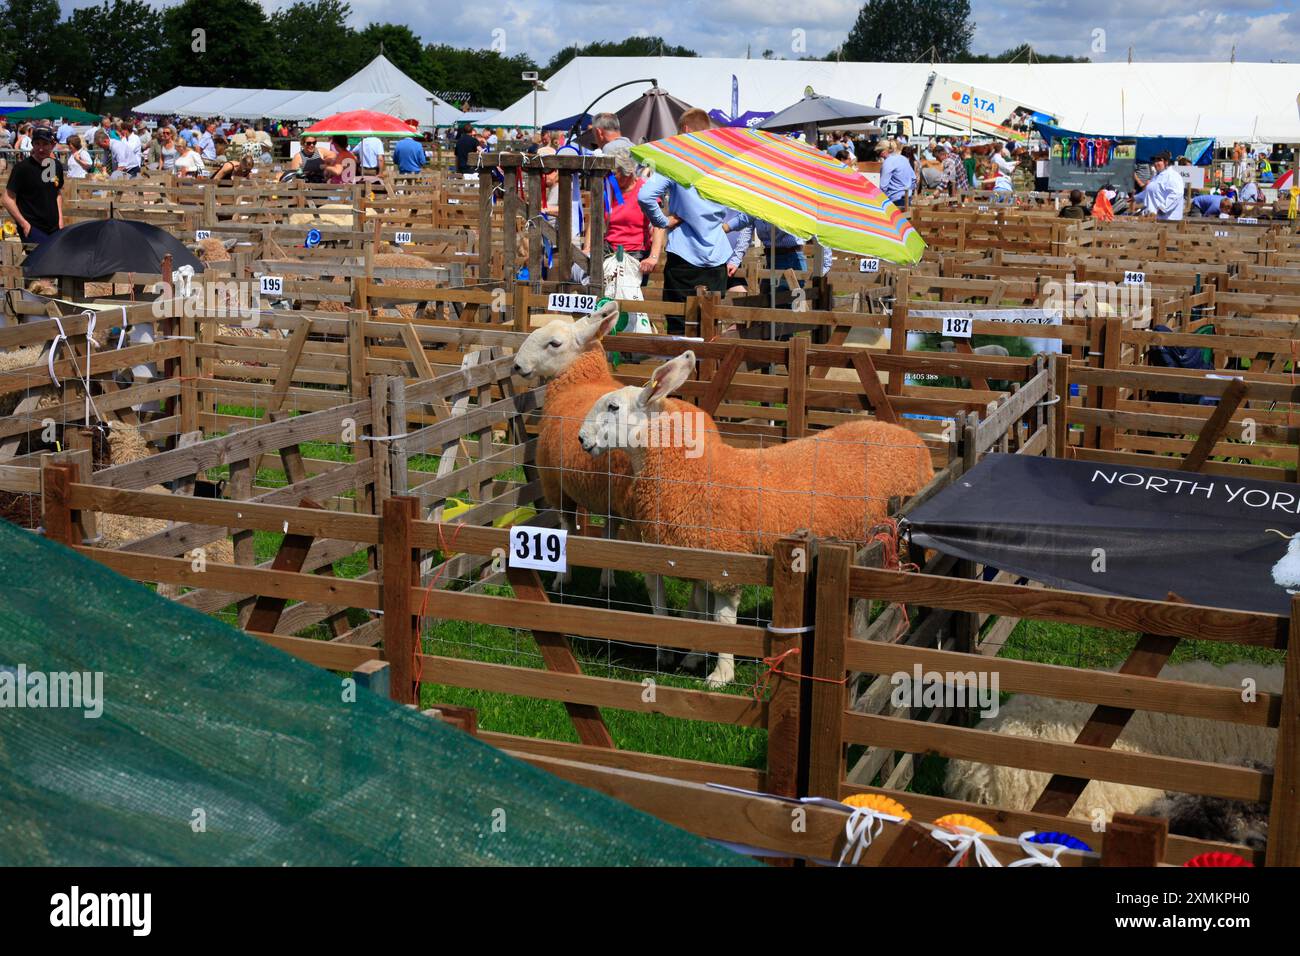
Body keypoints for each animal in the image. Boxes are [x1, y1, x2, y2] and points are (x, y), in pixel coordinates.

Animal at [577, 350, 935, 687]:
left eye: (613, 407)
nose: (581, 439)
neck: (693, 471)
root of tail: (911, 438)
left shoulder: (725, 560)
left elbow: (721, 620)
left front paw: (720, 674)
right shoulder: (698, 555)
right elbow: (699, 610)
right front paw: (694, 656)